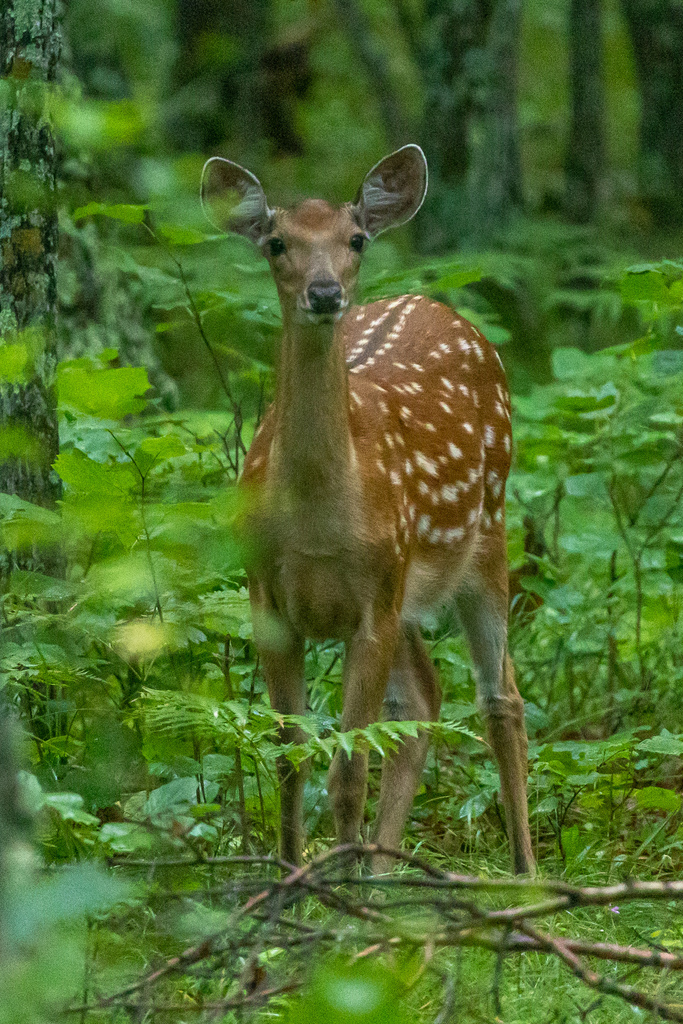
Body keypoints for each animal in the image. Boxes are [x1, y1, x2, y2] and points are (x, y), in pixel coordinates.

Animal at [201, 145, 535, 876]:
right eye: (276, 242)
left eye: (355, 239)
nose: (325, 292)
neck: (319, 520)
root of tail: (437, 305)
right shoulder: (269, 600)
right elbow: (291, 760)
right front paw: (293, 880)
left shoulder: (372, 604)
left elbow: (348, 769)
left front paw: (335, 894)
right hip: (407, 585)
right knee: (425, 695)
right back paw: (383, 869)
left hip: (483, 535)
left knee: (500, 696)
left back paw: (525, 875)